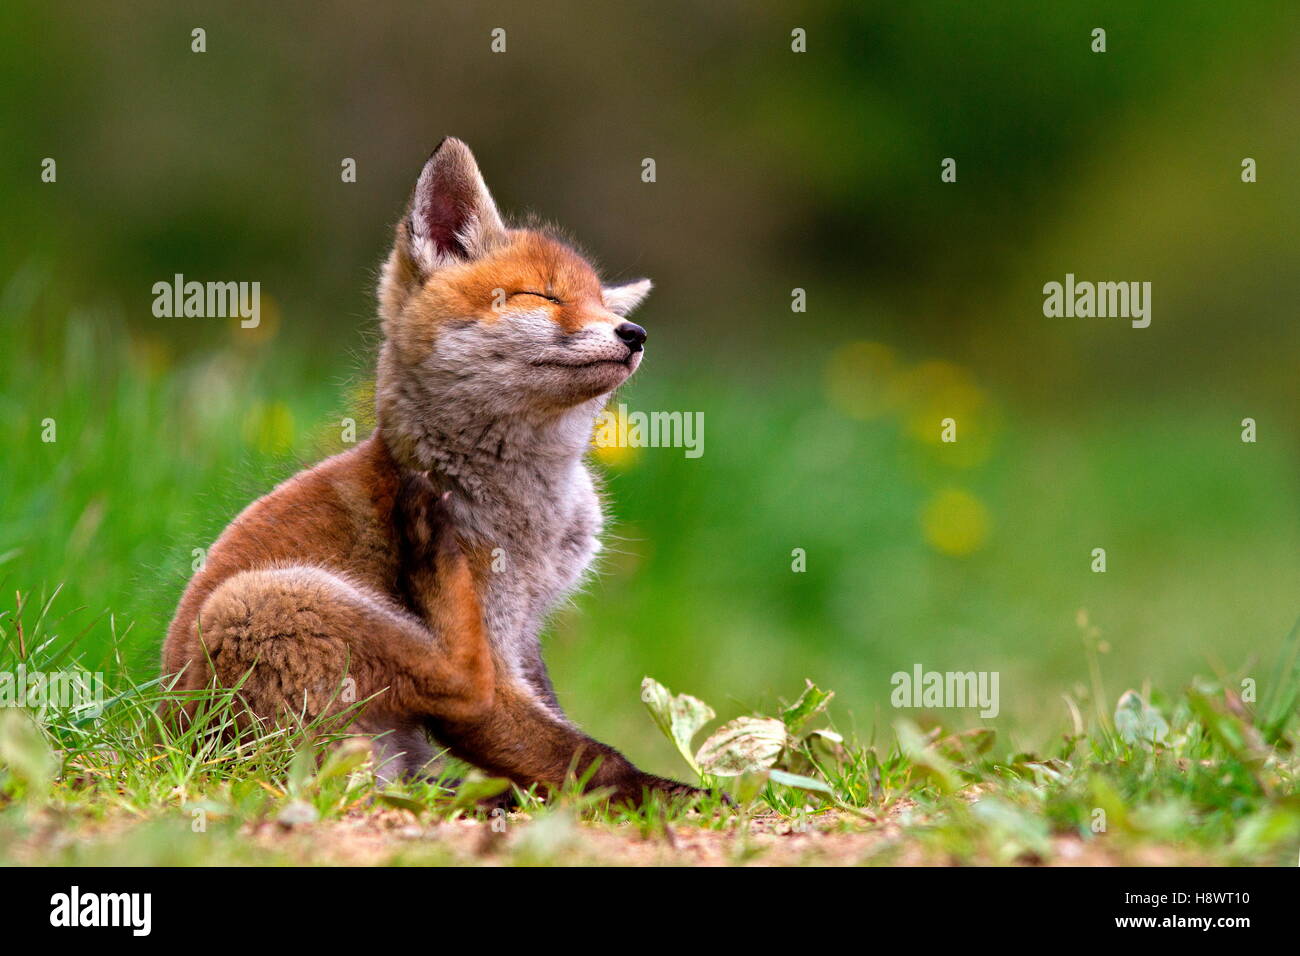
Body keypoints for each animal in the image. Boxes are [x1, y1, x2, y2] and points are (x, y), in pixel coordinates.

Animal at [162, 137, 700, 804]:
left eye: (603, 303)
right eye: (543, 296)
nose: (635, 333)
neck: (534, 516)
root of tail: (173, 743)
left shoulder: (525, 629)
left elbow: (556, 726)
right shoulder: (498, 635)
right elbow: (583, 756)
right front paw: (675, 796)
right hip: (273, 599)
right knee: (461, 685)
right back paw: (427, 547)